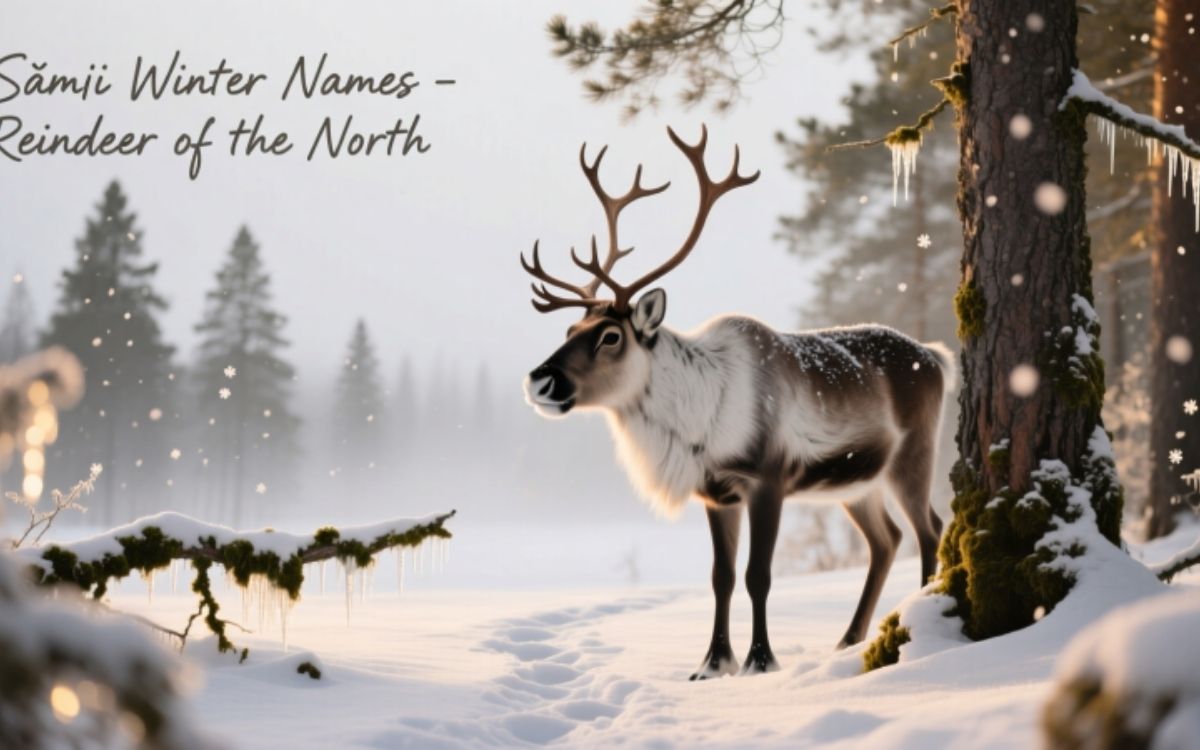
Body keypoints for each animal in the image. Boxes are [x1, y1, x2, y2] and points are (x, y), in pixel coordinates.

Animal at [521, 125, 955, 679]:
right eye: (569, 329)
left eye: (610, 336)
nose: (540, 380)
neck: (696, 421)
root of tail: (938, 357)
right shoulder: (716, 492)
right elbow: (721, 577)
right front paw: (710, 663)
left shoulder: (767, 479)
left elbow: (758, 575)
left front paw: (759, 661)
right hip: (857, 481)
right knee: (886, 540)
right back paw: (848, 640)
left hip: (913, 456)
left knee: (929, 530)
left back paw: (913, 624)